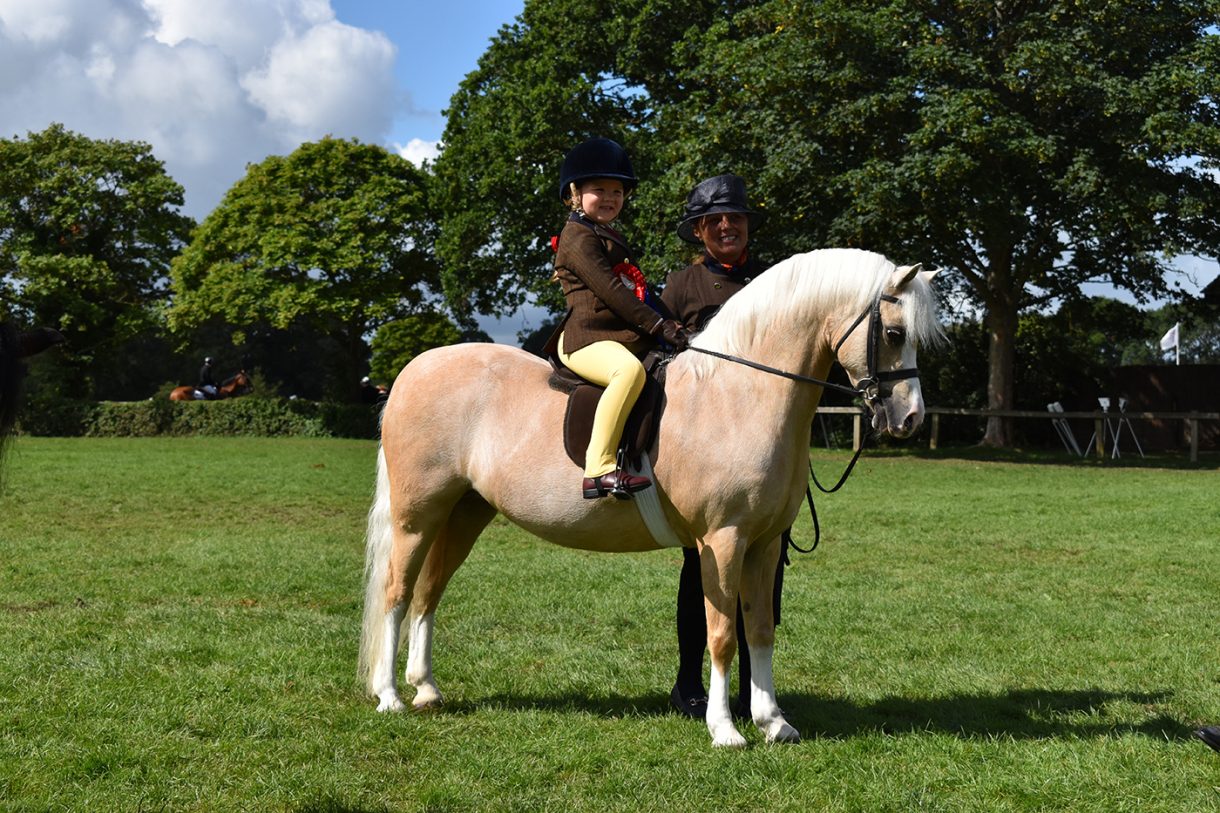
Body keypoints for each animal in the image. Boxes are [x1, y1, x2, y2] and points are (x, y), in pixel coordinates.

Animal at [359, 248, 942, 747]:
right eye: (894, 333)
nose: (910, 419)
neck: (739, 393)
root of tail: (412, 371)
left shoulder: (765, 544)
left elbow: (759, 629)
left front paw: (773, 723)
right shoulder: (722, 542)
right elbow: (721, 634)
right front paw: (725, 730)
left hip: (465, 512)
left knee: (429, 593)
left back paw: (426, 689)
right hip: (418, 514)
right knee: (396, 591)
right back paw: (389, 696)